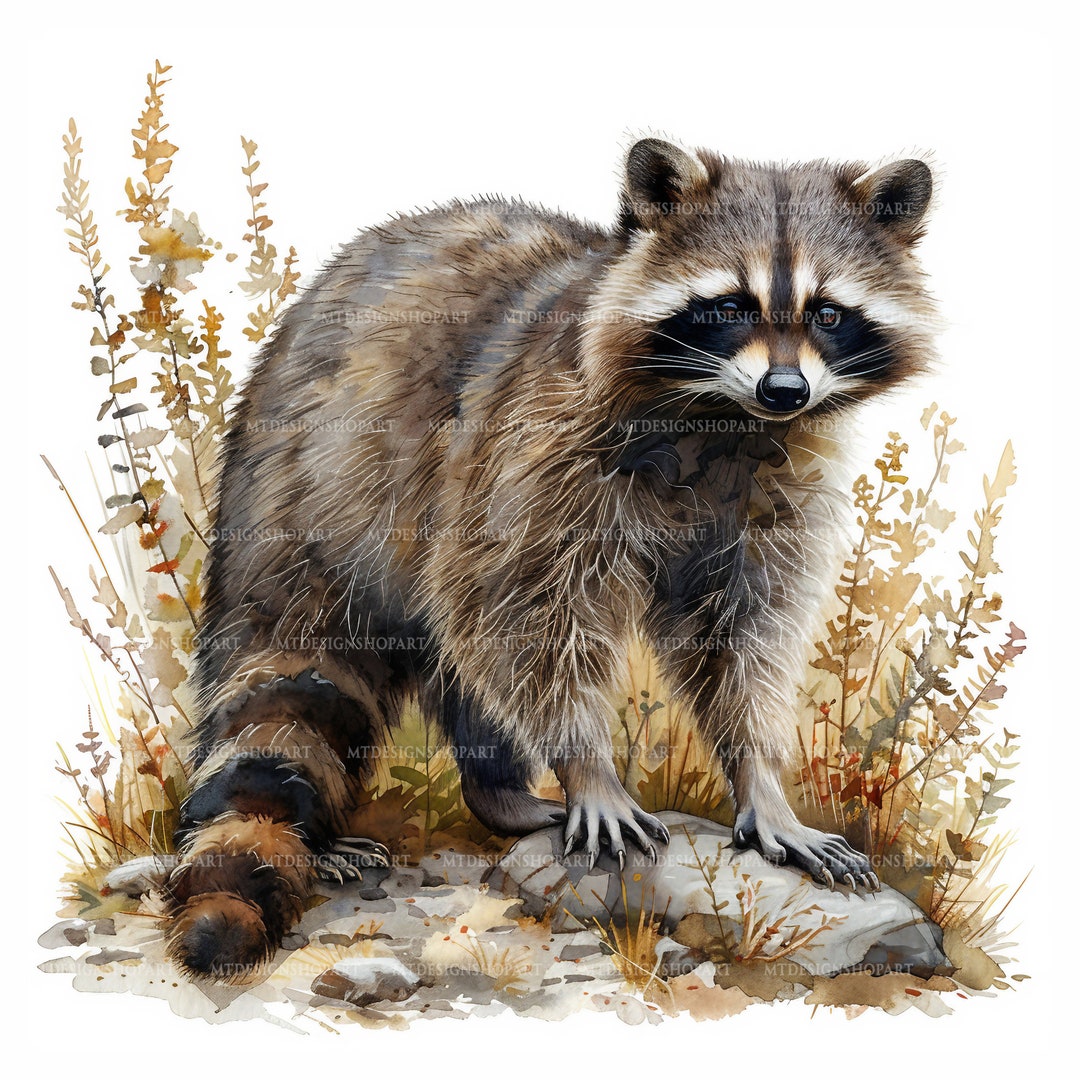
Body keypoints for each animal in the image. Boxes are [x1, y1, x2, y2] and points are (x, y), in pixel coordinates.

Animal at [165, 138, 935, 982]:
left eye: (829, 313)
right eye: (730, 306)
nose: (786, 388)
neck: (721, 414)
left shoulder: (778, 485)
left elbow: (742, 638)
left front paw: (761, 783)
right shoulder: (536, 438)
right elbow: (523, 605)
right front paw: (589, 765)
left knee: (462, 670)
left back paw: (497, 790)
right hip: (320, 493)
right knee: (338, 641)